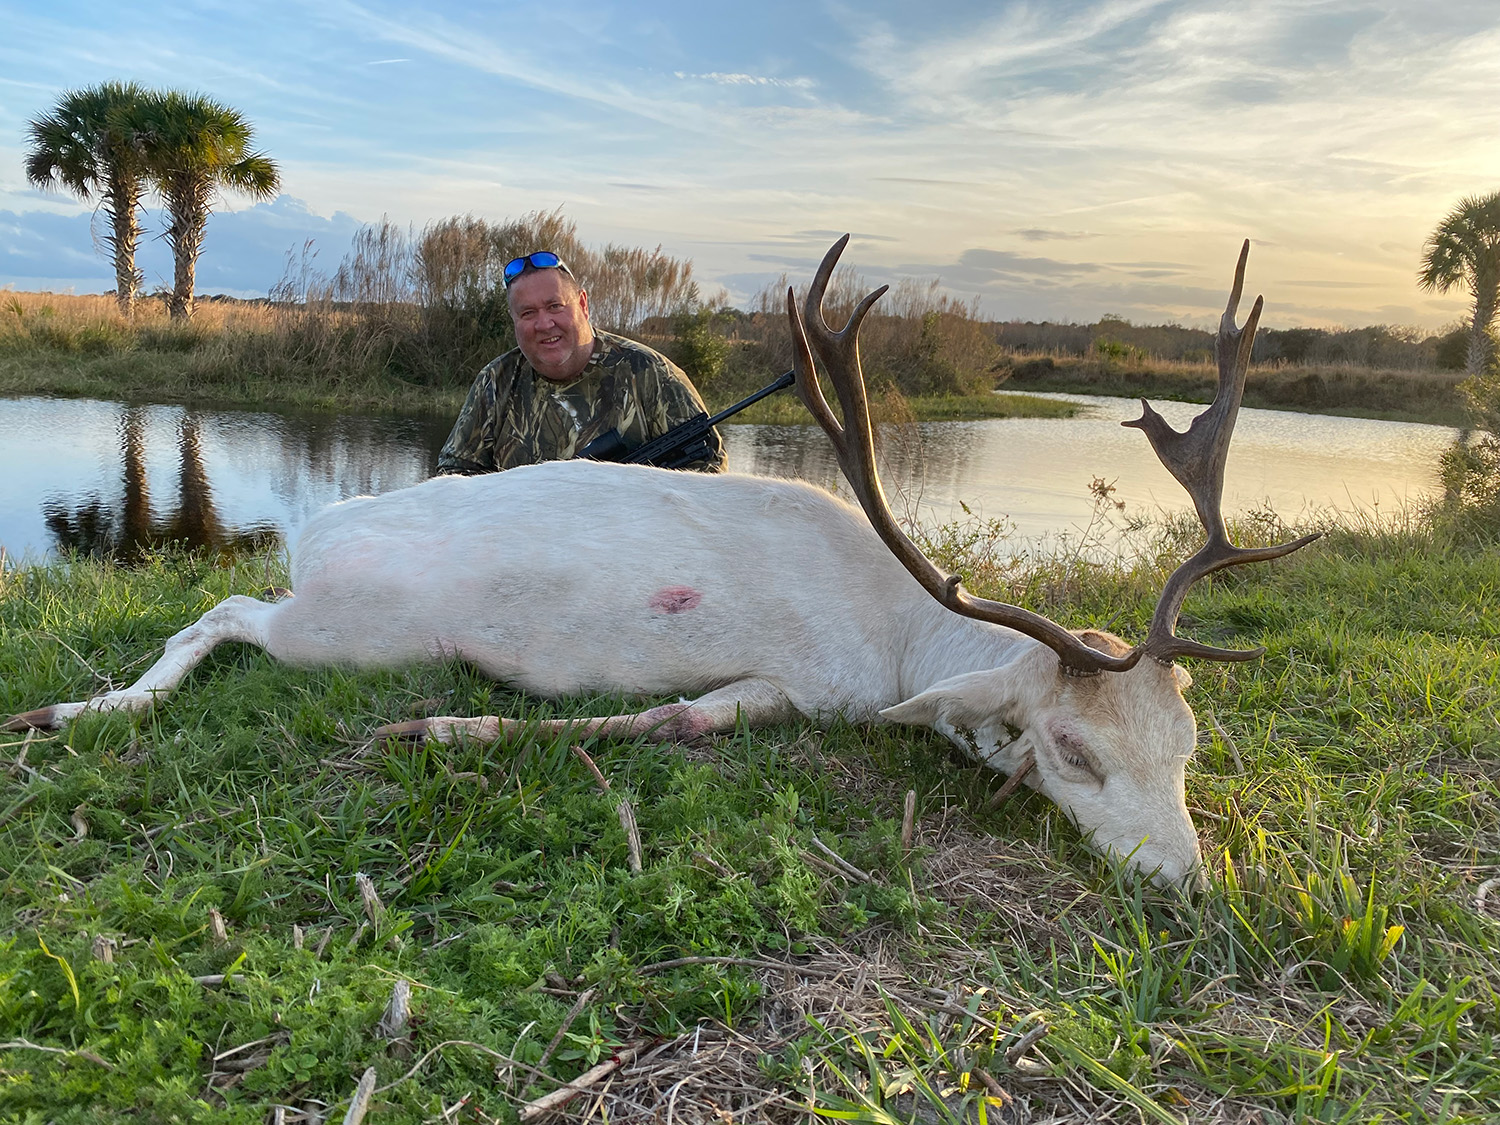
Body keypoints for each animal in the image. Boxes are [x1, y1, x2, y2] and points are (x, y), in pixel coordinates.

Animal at [4, 237, 1314, 888]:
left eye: (1188, 747)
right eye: (1075, 749)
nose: (1187, 878)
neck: (903, 639)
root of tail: (317, 530)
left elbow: (676, 719)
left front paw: (440, 730)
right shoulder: (814, 685)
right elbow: (683, 717)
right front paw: (431, 729)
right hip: (337, 629)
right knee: (223, 607)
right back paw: (74, 709)